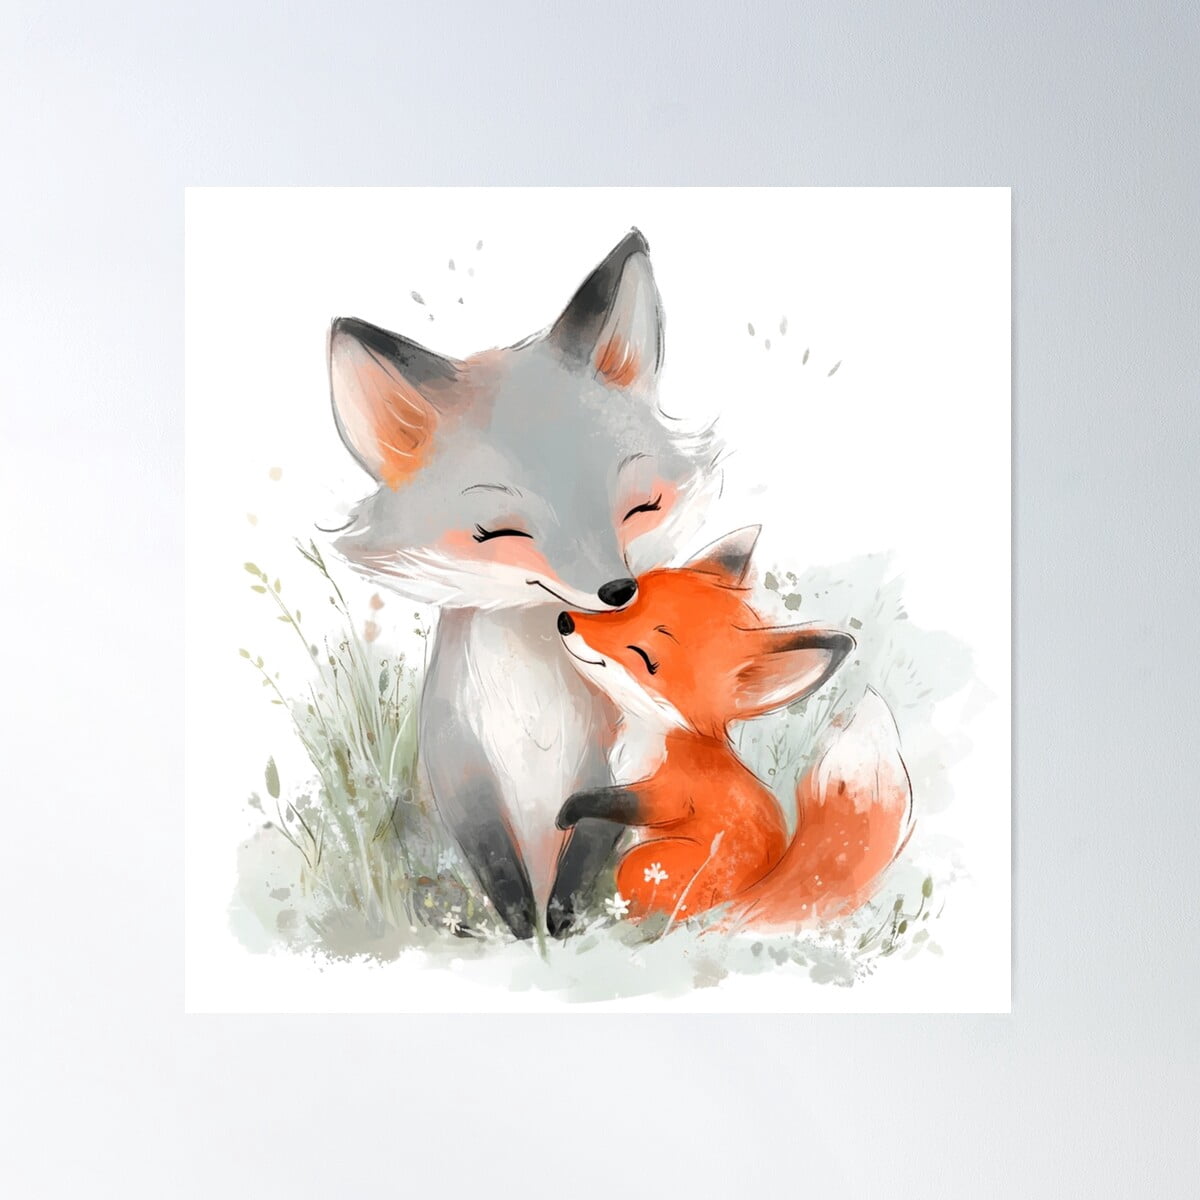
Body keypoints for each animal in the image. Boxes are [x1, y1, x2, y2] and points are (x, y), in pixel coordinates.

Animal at [326, 230, 716, 939]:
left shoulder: (612, 756)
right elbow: (492, 858)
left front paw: (559, 922)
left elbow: (589, 839)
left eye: (639, 508)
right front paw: (520, 928)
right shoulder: (456, 758)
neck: (534, 708)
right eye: (499, 531)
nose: (619, 591)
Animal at [554, 526, 914, 929]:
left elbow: (620, 803)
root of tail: (751, 894)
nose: (565, 621)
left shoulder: (671, 792)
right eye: (622, 598)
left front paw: (569, 811)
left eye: (646, 659)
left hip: (644, 863)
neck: (656, 737)